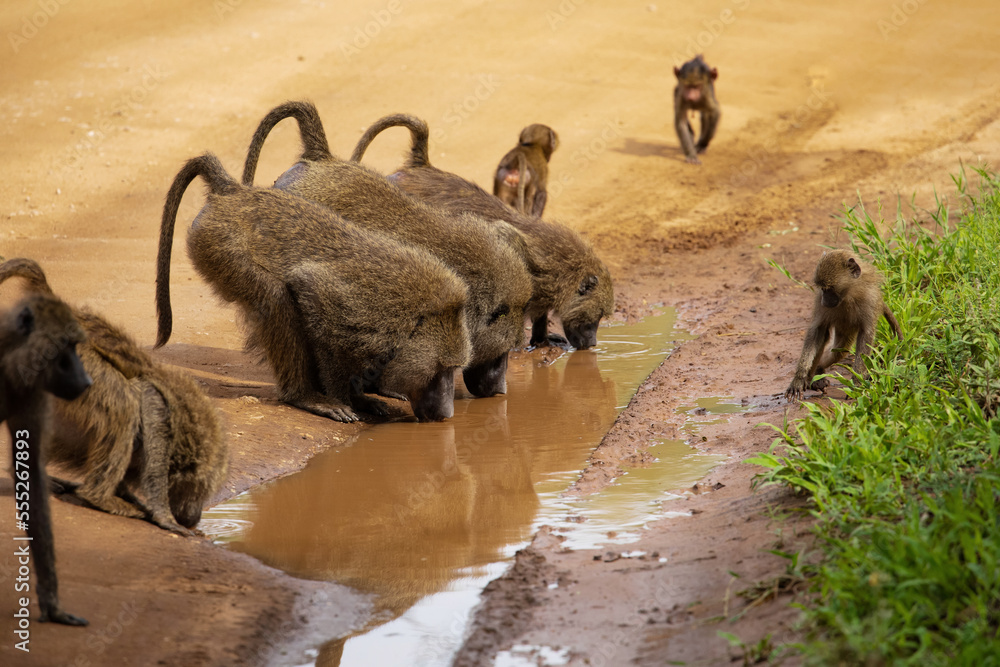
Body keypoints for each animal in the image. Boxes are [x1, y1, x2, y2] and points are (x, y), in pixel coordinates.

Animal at [0, 258, 228, 536]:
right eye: (201, 491)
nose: (194, 517)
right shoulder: (160, 408)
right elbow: (148, 403)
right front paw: (165, 517)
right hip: (74, 363)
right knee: (124, 405)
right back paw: (99, 497)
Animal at [1, 292, 91, 625]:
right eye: (65, 347)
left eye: (76, 346)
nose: (86, 379)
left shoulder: (32, 389)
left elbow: (30, 471)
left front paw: (52, 604)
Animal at [157, 153, 471, 422]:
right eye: (441, 370)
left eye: (453, 370)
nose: (447, 414)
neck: (416, 318)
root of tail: (235, 193)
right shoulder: (360, 307)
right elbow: (310, 291)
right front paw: (346, 398)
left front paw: (360, 397)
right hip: (221, 245)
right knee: (276, 299)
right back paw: (304, 397)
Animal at [785, 249, 902, 400]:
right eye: (822, 289)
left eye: (829, 288)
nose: (824, 301)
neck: (849, 295)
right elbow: (818, 331)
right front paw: (799, 378)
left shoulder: (870, 299)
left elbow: (866, 336)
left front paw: (857, 383)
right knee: (836, 349)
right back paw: (815, 376)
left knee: (840, 351)